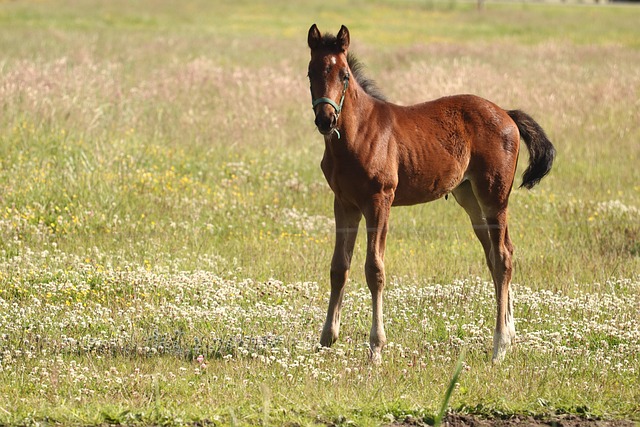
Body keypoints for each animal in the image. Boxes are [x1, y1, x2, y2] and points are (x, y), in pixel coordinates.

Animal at [307, 24, 556, 363]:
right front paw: (326, 339)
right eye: (310, 72)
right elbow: (338, 267)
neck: (356, 134)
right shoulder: (344, 202)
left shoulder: (379, 200)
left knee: (503, 257)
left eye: (344, 75)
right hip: (469, 197)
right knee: (498, 254)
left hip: (494, 196)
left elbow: (374, 269)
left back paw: (500, 346)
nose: (325, 119)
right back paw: (510, 333)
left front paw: (376, 347)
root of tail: (506, 113)